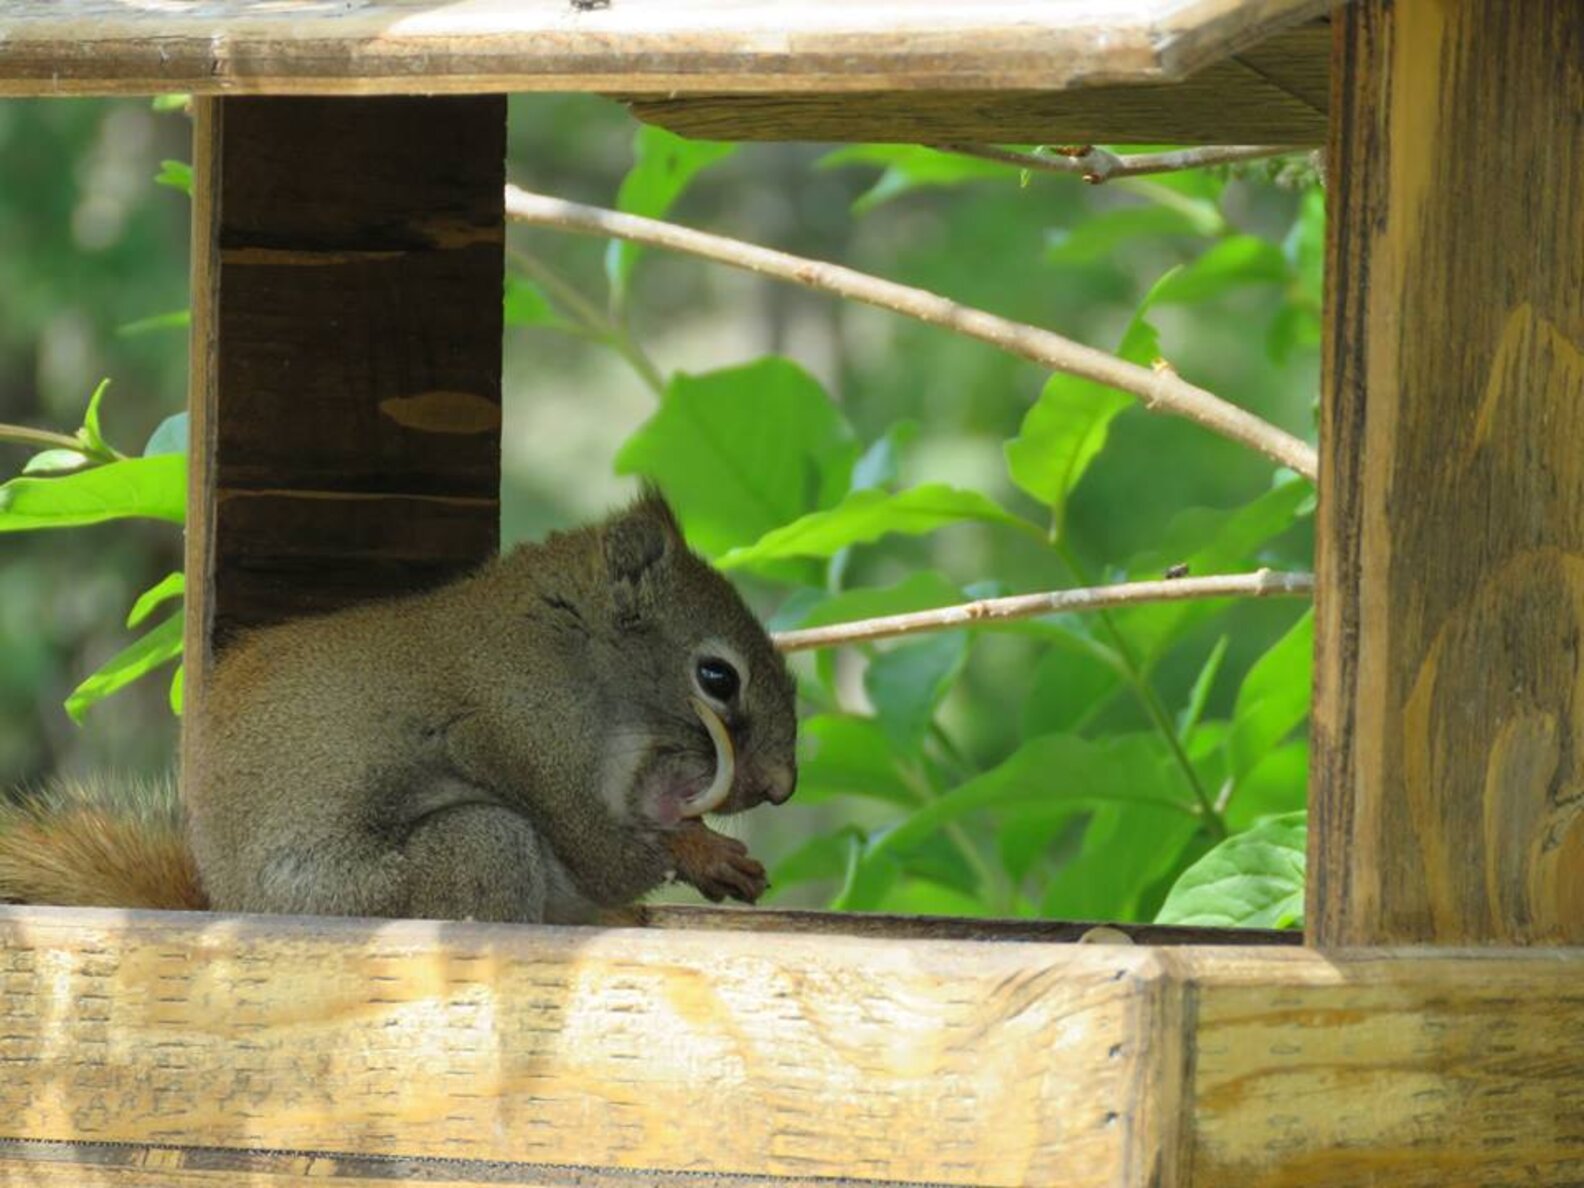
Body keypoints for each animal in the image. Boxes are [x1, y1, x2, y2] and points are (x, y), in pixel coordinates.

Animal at [0, 491, 798, 924]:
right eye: (717, 677)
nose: (780, 786)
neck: (572, 648)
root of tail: (229, 902)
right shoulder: (520, 730)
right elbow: (601, 852)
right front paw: (699, 852)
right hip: (435, 867)